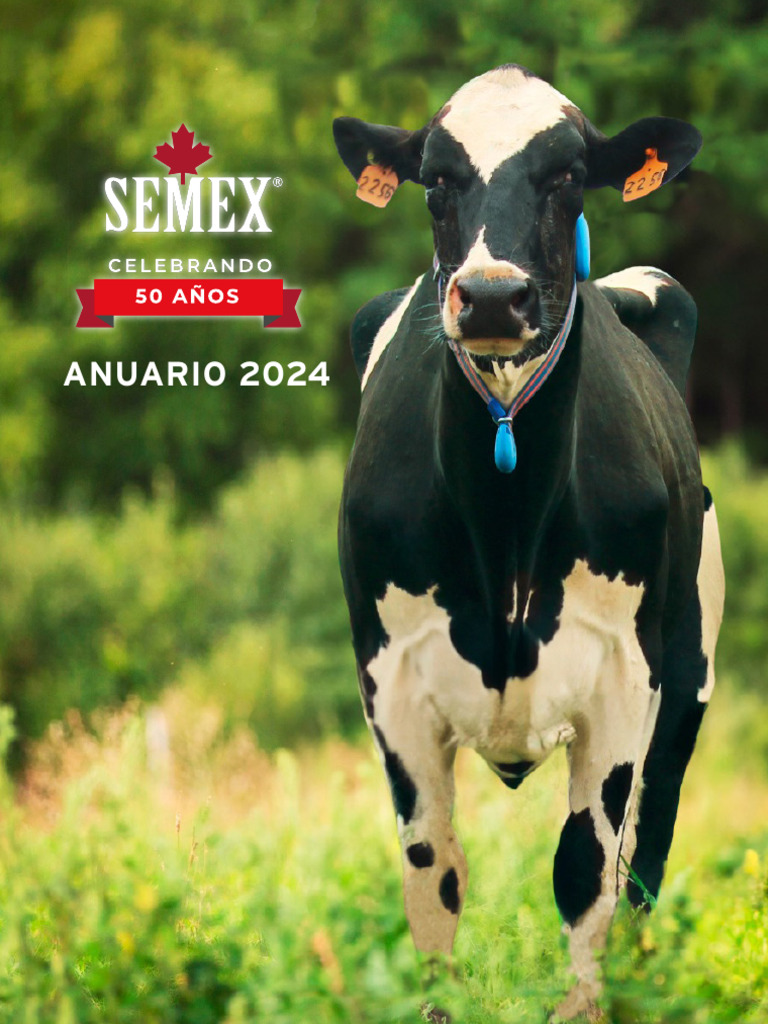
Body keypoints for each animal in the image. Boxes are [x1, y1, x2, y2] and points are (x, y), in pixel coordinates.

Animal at [333, 65, 725, 1020]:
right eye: (435, 181)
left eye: (568, 176)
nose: (489, 297)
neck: (504, 518)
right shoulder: (391, 680)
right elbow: (433, 877)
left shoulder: (623, 674)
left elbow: (587, 872)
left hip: (688, 680)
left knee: (647, 857)